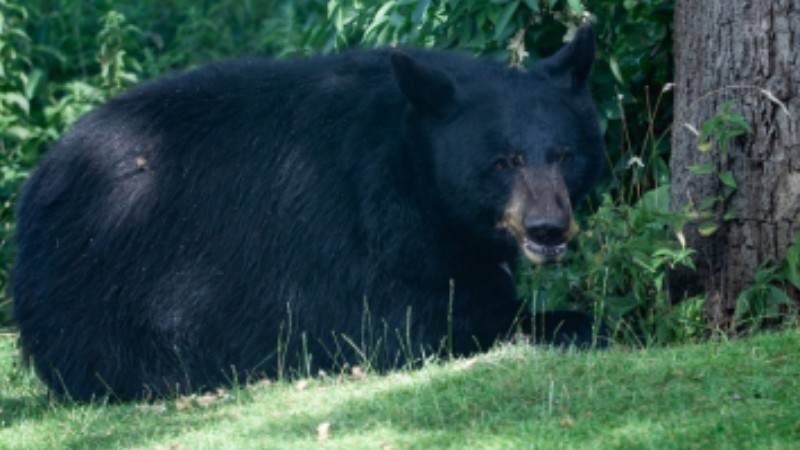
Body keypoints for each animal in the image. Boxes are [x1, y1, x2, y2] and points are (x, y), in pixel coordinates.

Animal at [12, 26, 604, 400]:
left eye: (564, 154)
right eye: (502, 162)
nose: (548, 228)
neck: (415, 172)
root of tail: (38, 183)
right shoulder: (361, 237)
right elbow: (414, 324)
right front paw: (575, 322)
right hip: (109, 282)